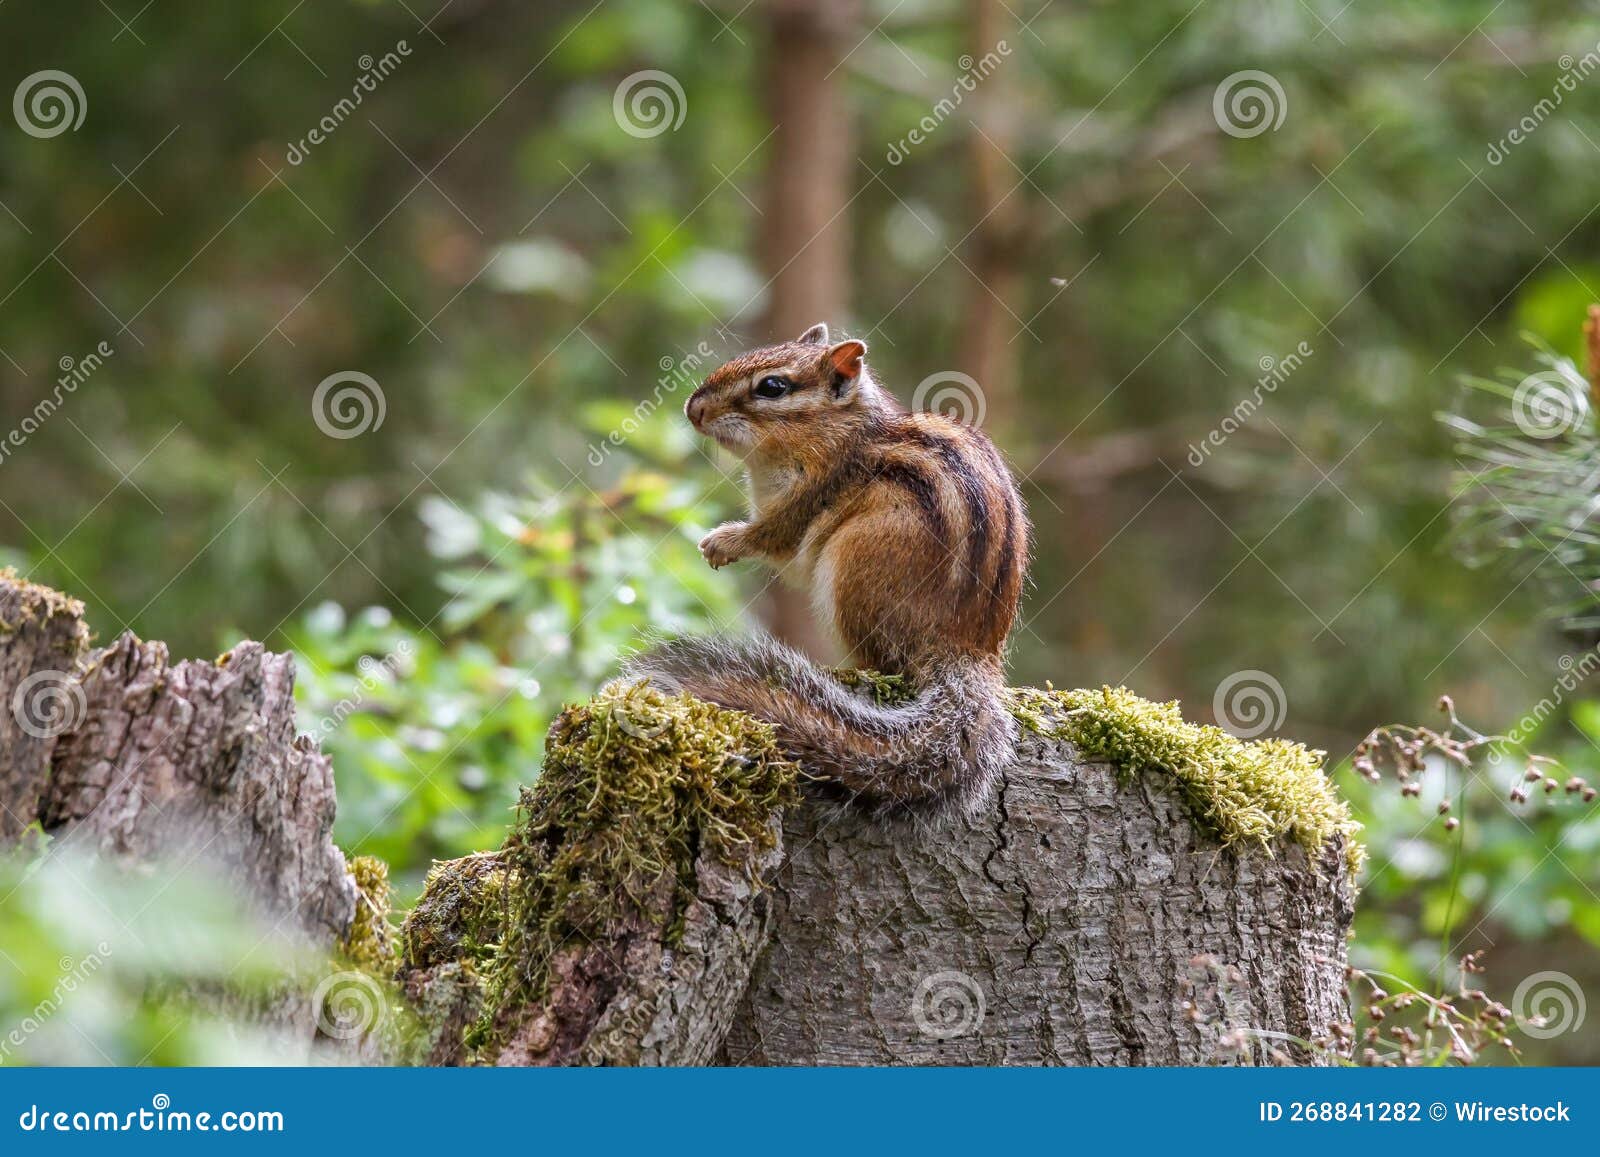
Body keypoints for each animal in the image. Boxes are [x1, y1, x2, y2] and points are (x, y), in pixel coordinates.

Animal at [623, 323, 1030, 820]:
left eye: (772, 386)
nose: (693, 408)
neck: (837, 433)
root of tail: (967, 651)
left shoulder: (810, 496)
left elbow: (772, 535)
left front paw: (722, 542)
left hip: (855, 564)